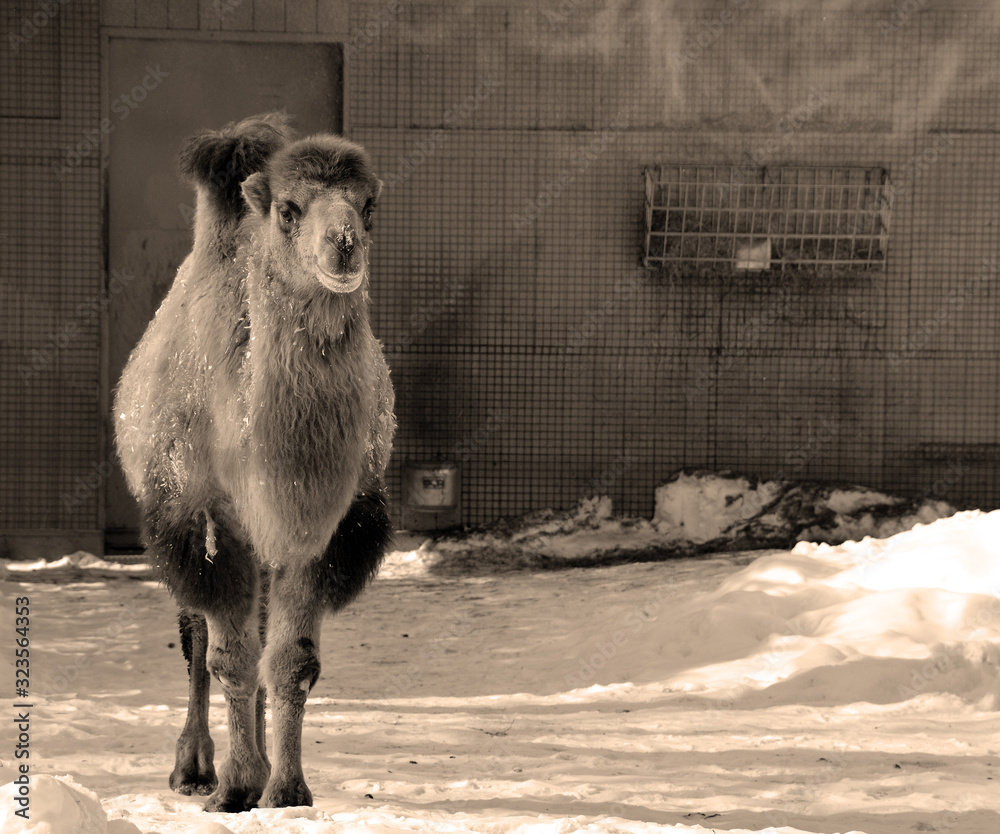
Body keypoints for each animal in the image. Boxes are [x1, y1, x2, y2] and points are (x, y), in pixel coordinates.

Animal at [114, 113, 395, 811]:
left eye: (368, 205)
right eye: (290, 210)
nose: (343, 244)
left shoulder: (330, 525)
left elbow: (292, 660)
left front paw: (287, 788)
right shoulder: (199, 514)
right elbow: (227, 657)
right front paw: (236, 786)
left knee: (259, 630)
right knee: (194, 636)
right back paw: (194, 767)